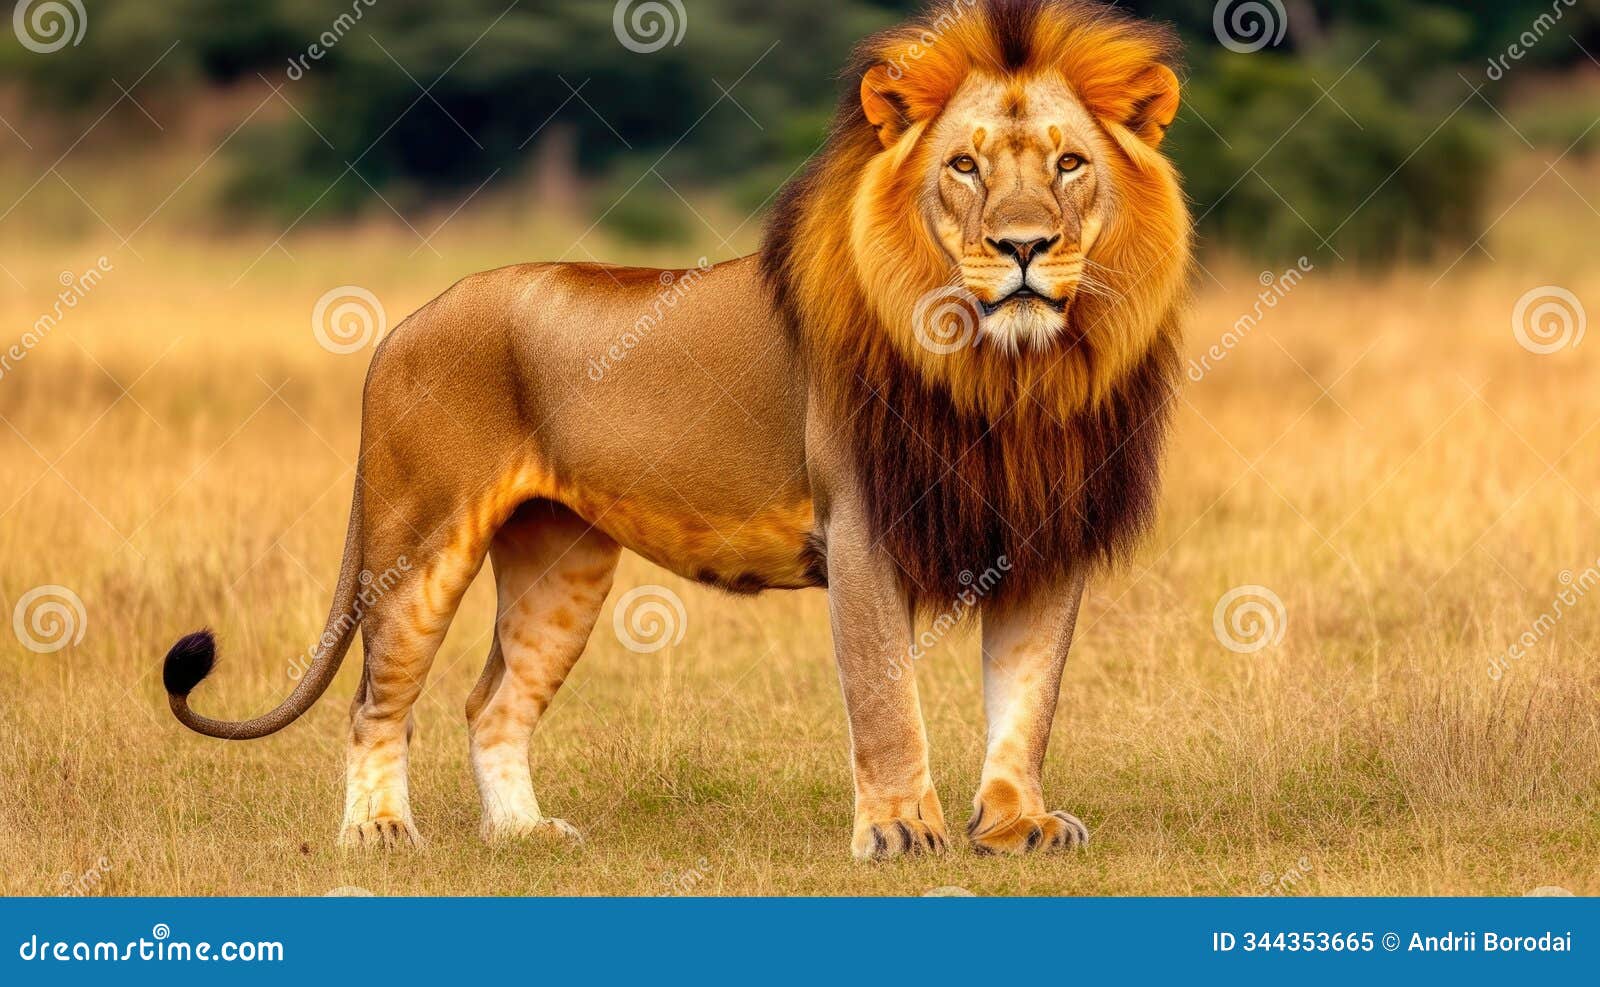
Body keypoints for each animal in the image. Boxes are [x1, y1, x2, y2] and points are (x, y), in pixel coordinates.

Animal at [162, 0, 1190, 860]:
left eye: (1069, 163)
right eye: (963, 166)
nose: (1024, 247)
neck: (1011, 373)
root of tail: (405, 324)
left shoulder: (1046, 535)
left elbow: (1026, 698)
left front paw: (1017, 826)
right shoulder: (861, 530)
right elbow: (885, 697)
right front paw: (901, 832)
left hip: (561, 565)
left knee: (492, 700)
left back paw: (524, 834)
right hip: (418, 542)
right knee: (377, 700)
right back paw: (376, 831)